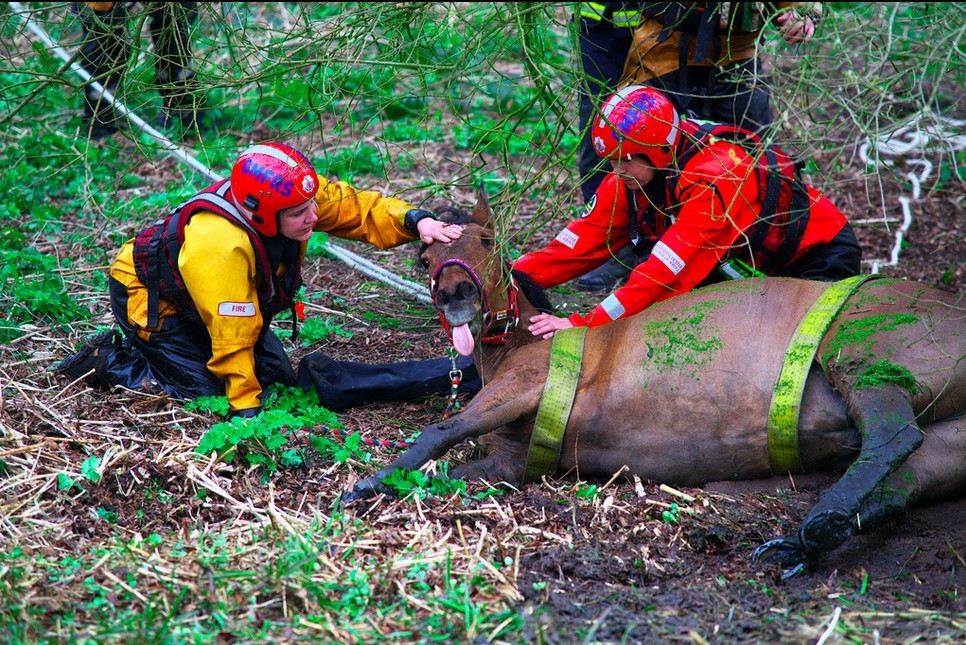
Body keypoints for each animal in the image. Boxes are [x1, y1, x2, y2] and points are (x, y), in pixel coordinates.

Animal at [343, 191, 966, 576]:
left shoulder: (521, 387)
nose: (456, 294)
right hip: (948, 441)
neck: (519, 345)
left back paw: (818, 523)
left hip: (863, 357)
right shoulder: (511, 463)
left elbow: (441, 431)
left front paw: (365, 484)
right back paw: (810, 538)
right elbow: (449, 471)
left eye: (487, 242)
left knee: (892, 439)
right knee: (904, 476)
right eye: (423, 255)